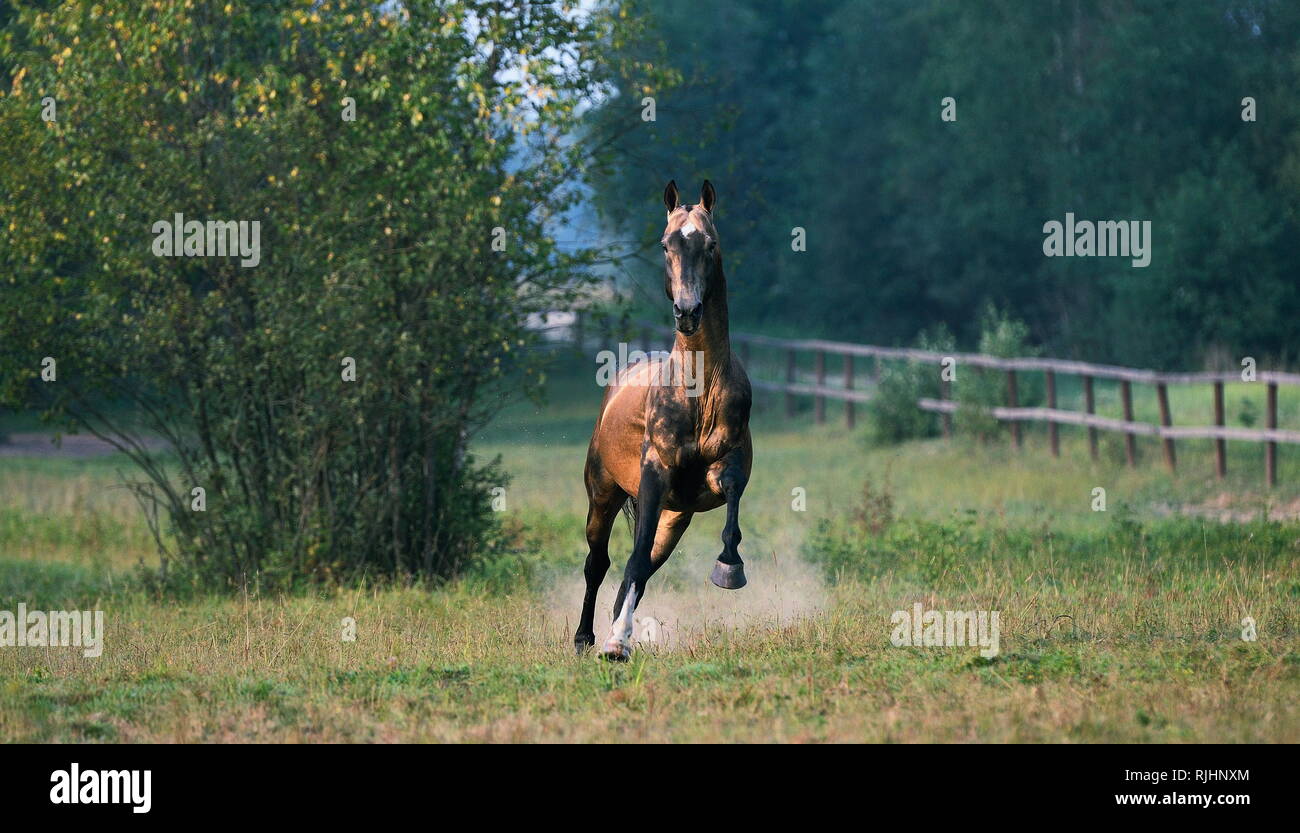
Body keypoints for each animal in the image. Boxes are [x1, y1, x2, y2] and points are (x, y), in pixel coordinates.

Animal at [574, 179, 753, 660]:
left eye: (710, 243)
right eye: (666, 243)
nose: (687, 312)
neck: (699, 393)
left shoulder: (722, 471)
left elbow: (731, 497)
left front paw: (729, 567)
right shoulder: (654, 474)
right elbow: (628, 560)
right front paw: (613, 645)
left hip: (674, 519)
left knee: (636, 571)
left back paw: (617, 633)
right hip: (604, 494)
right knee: (600, 563)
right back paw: (589, 639)